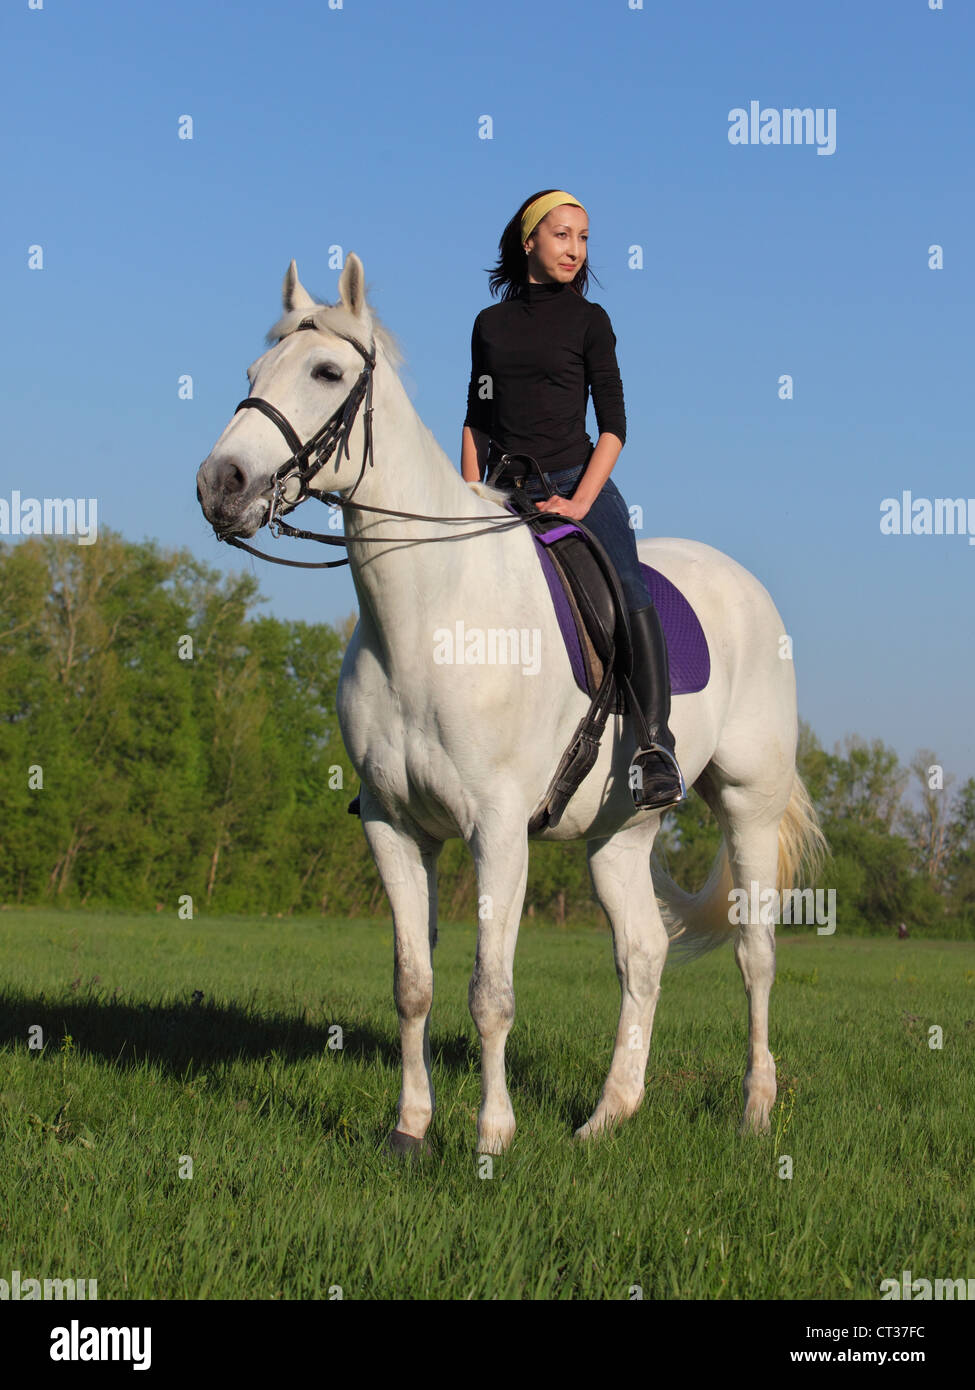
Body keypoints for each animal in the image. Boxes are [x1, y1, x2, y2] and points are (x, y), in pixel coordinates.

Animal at [196, 253, 826, 1156]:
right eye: (252, 374)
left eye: (326, 373)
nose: (221, 485)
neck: (426, 615)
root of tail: (743, 583)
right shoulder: (394, 825)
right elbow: (413, 984)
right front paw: (410, 1130)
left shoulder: (494, 829)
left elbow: (489, 990)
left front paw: (492, 1136)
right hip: (618, 832)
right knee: (642, 954)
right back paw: (606, 1116)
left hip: (748, 805)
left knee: (754, 955)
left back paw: (752, 1112)